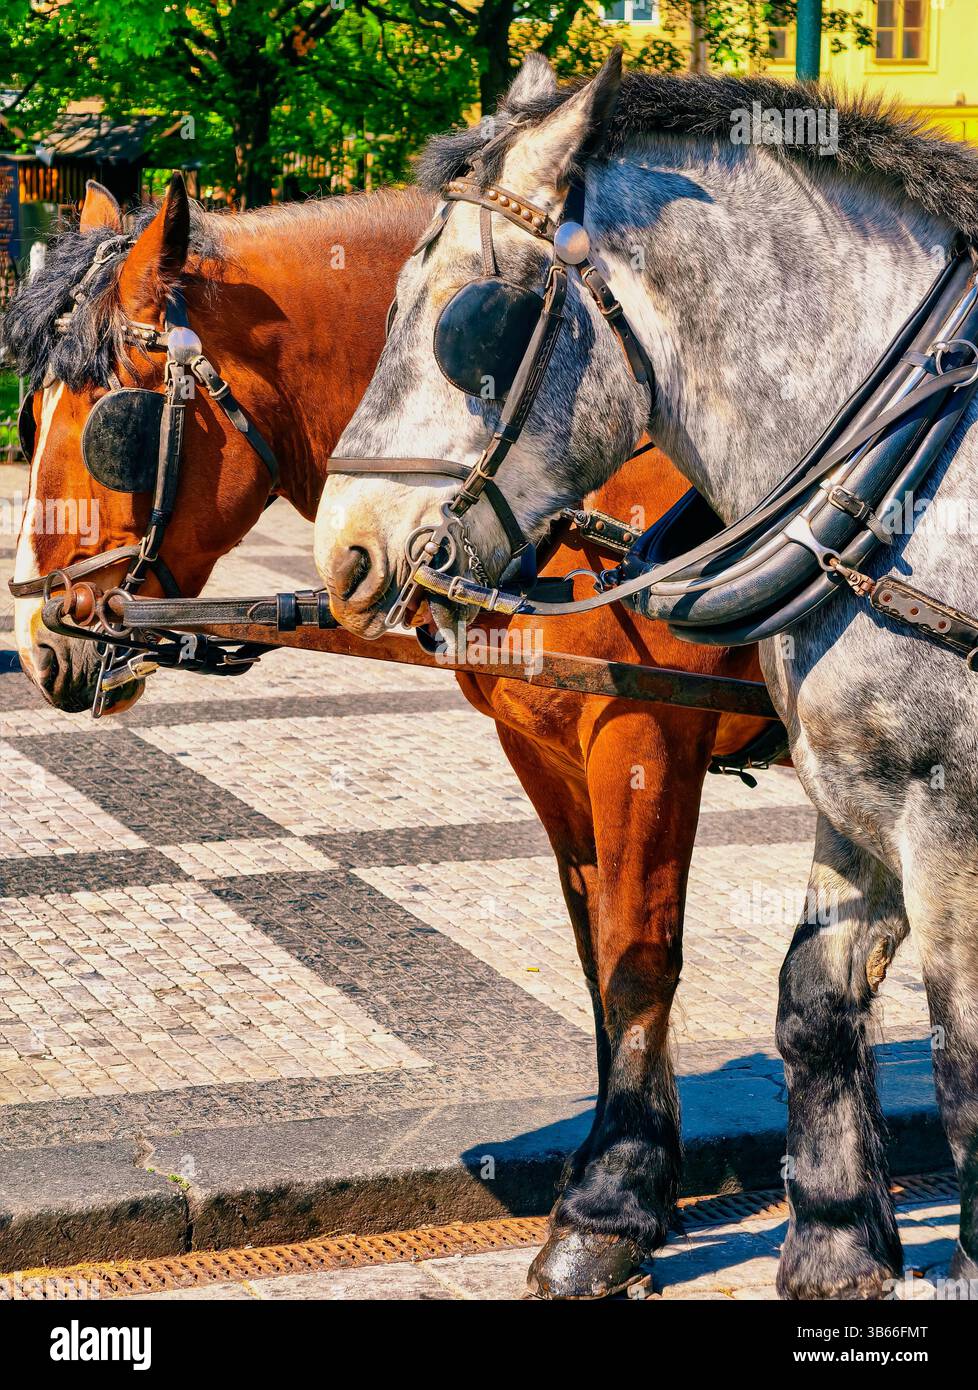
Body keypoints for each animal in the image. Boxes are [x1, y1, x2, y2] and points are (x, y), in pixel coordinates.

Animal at [4, 174, 772, 1299]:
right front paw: (636, 1181)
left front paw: (607, 1213)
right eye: (31, 414)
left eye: (117, 422)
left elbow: (638, 958)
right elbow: (596, 951)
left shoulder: (645, 733)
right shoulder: (542, 744)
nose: (43, 643)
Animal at [312, 53, 978, 1300]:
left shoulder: (945, 815)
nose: (348, 552)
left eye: (473, 321)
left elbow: (960, 1064)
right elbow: (809, 1000)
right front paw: (835, 1249)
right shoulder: (861, 793)